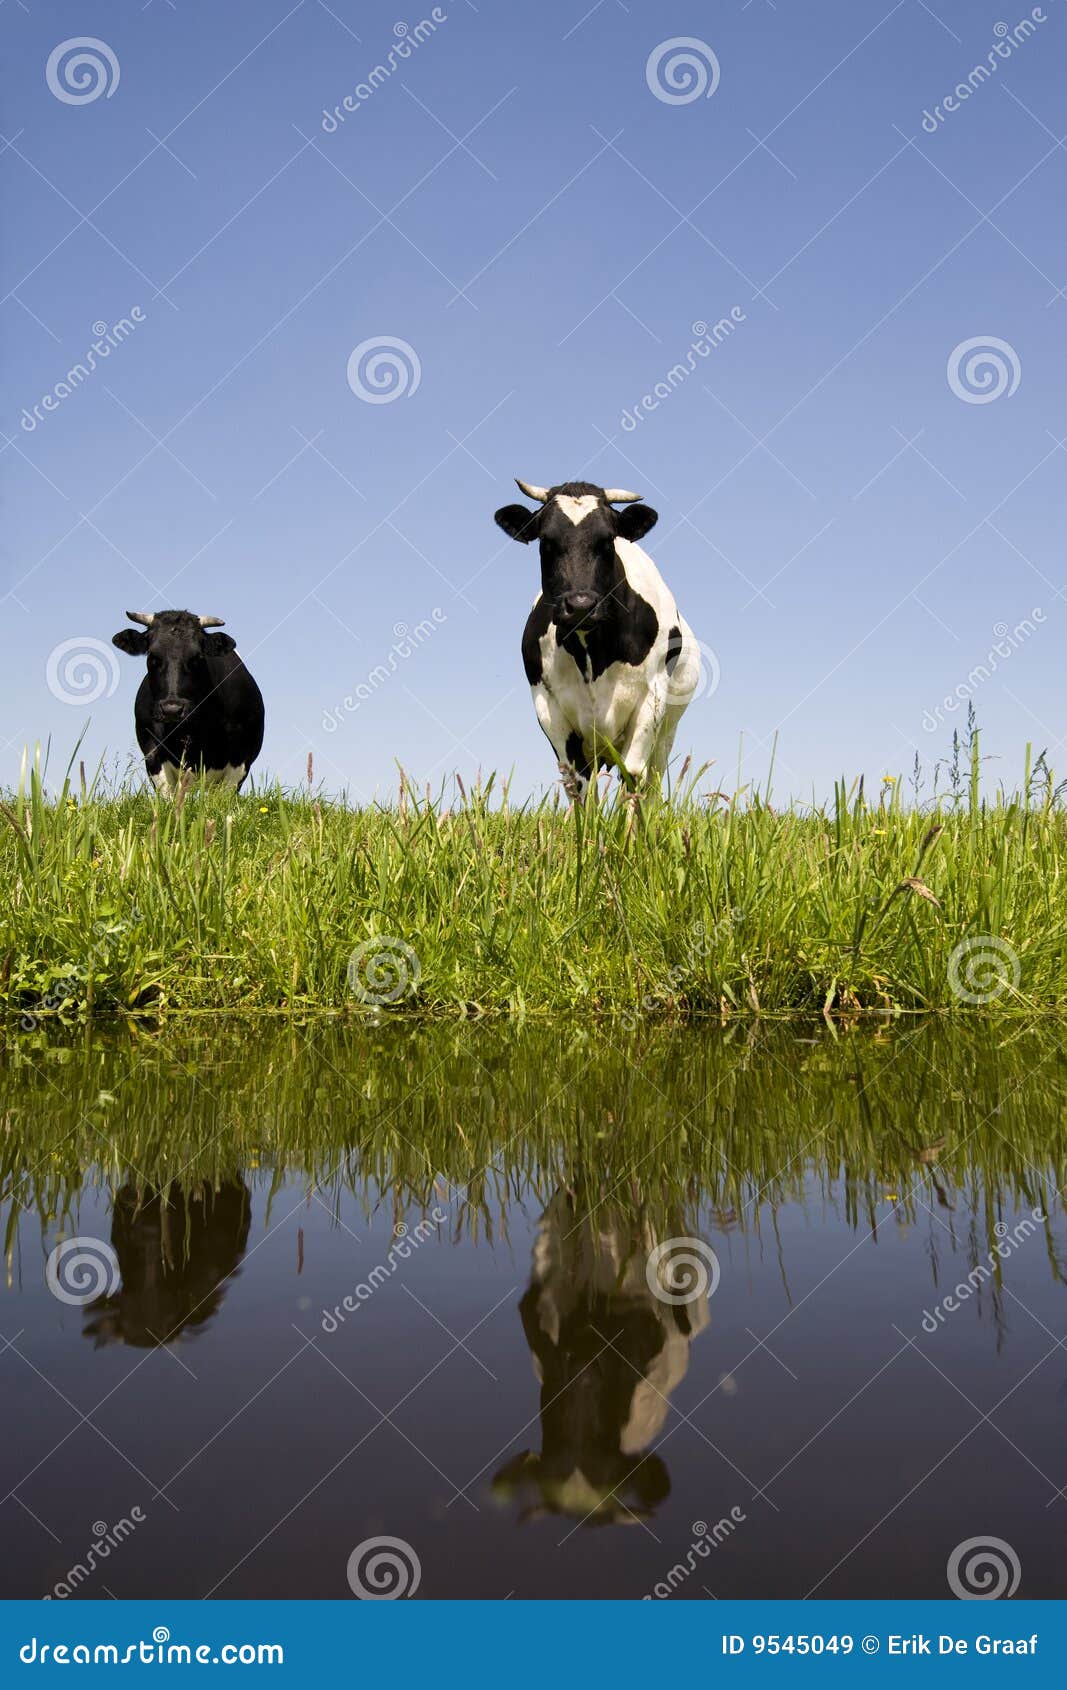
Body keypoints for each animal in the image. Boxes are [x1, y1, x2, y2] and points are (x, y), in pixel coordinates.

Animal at [494, 479, 701, 799]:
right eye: (546, 542)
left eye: (607, 541)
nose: (580, 605)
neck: (593, 654)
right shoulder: (548, 705)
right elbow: (578, 784)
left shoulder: (651, 698)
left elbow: (633, 776)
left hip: (667, 732)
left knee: (652, 784)